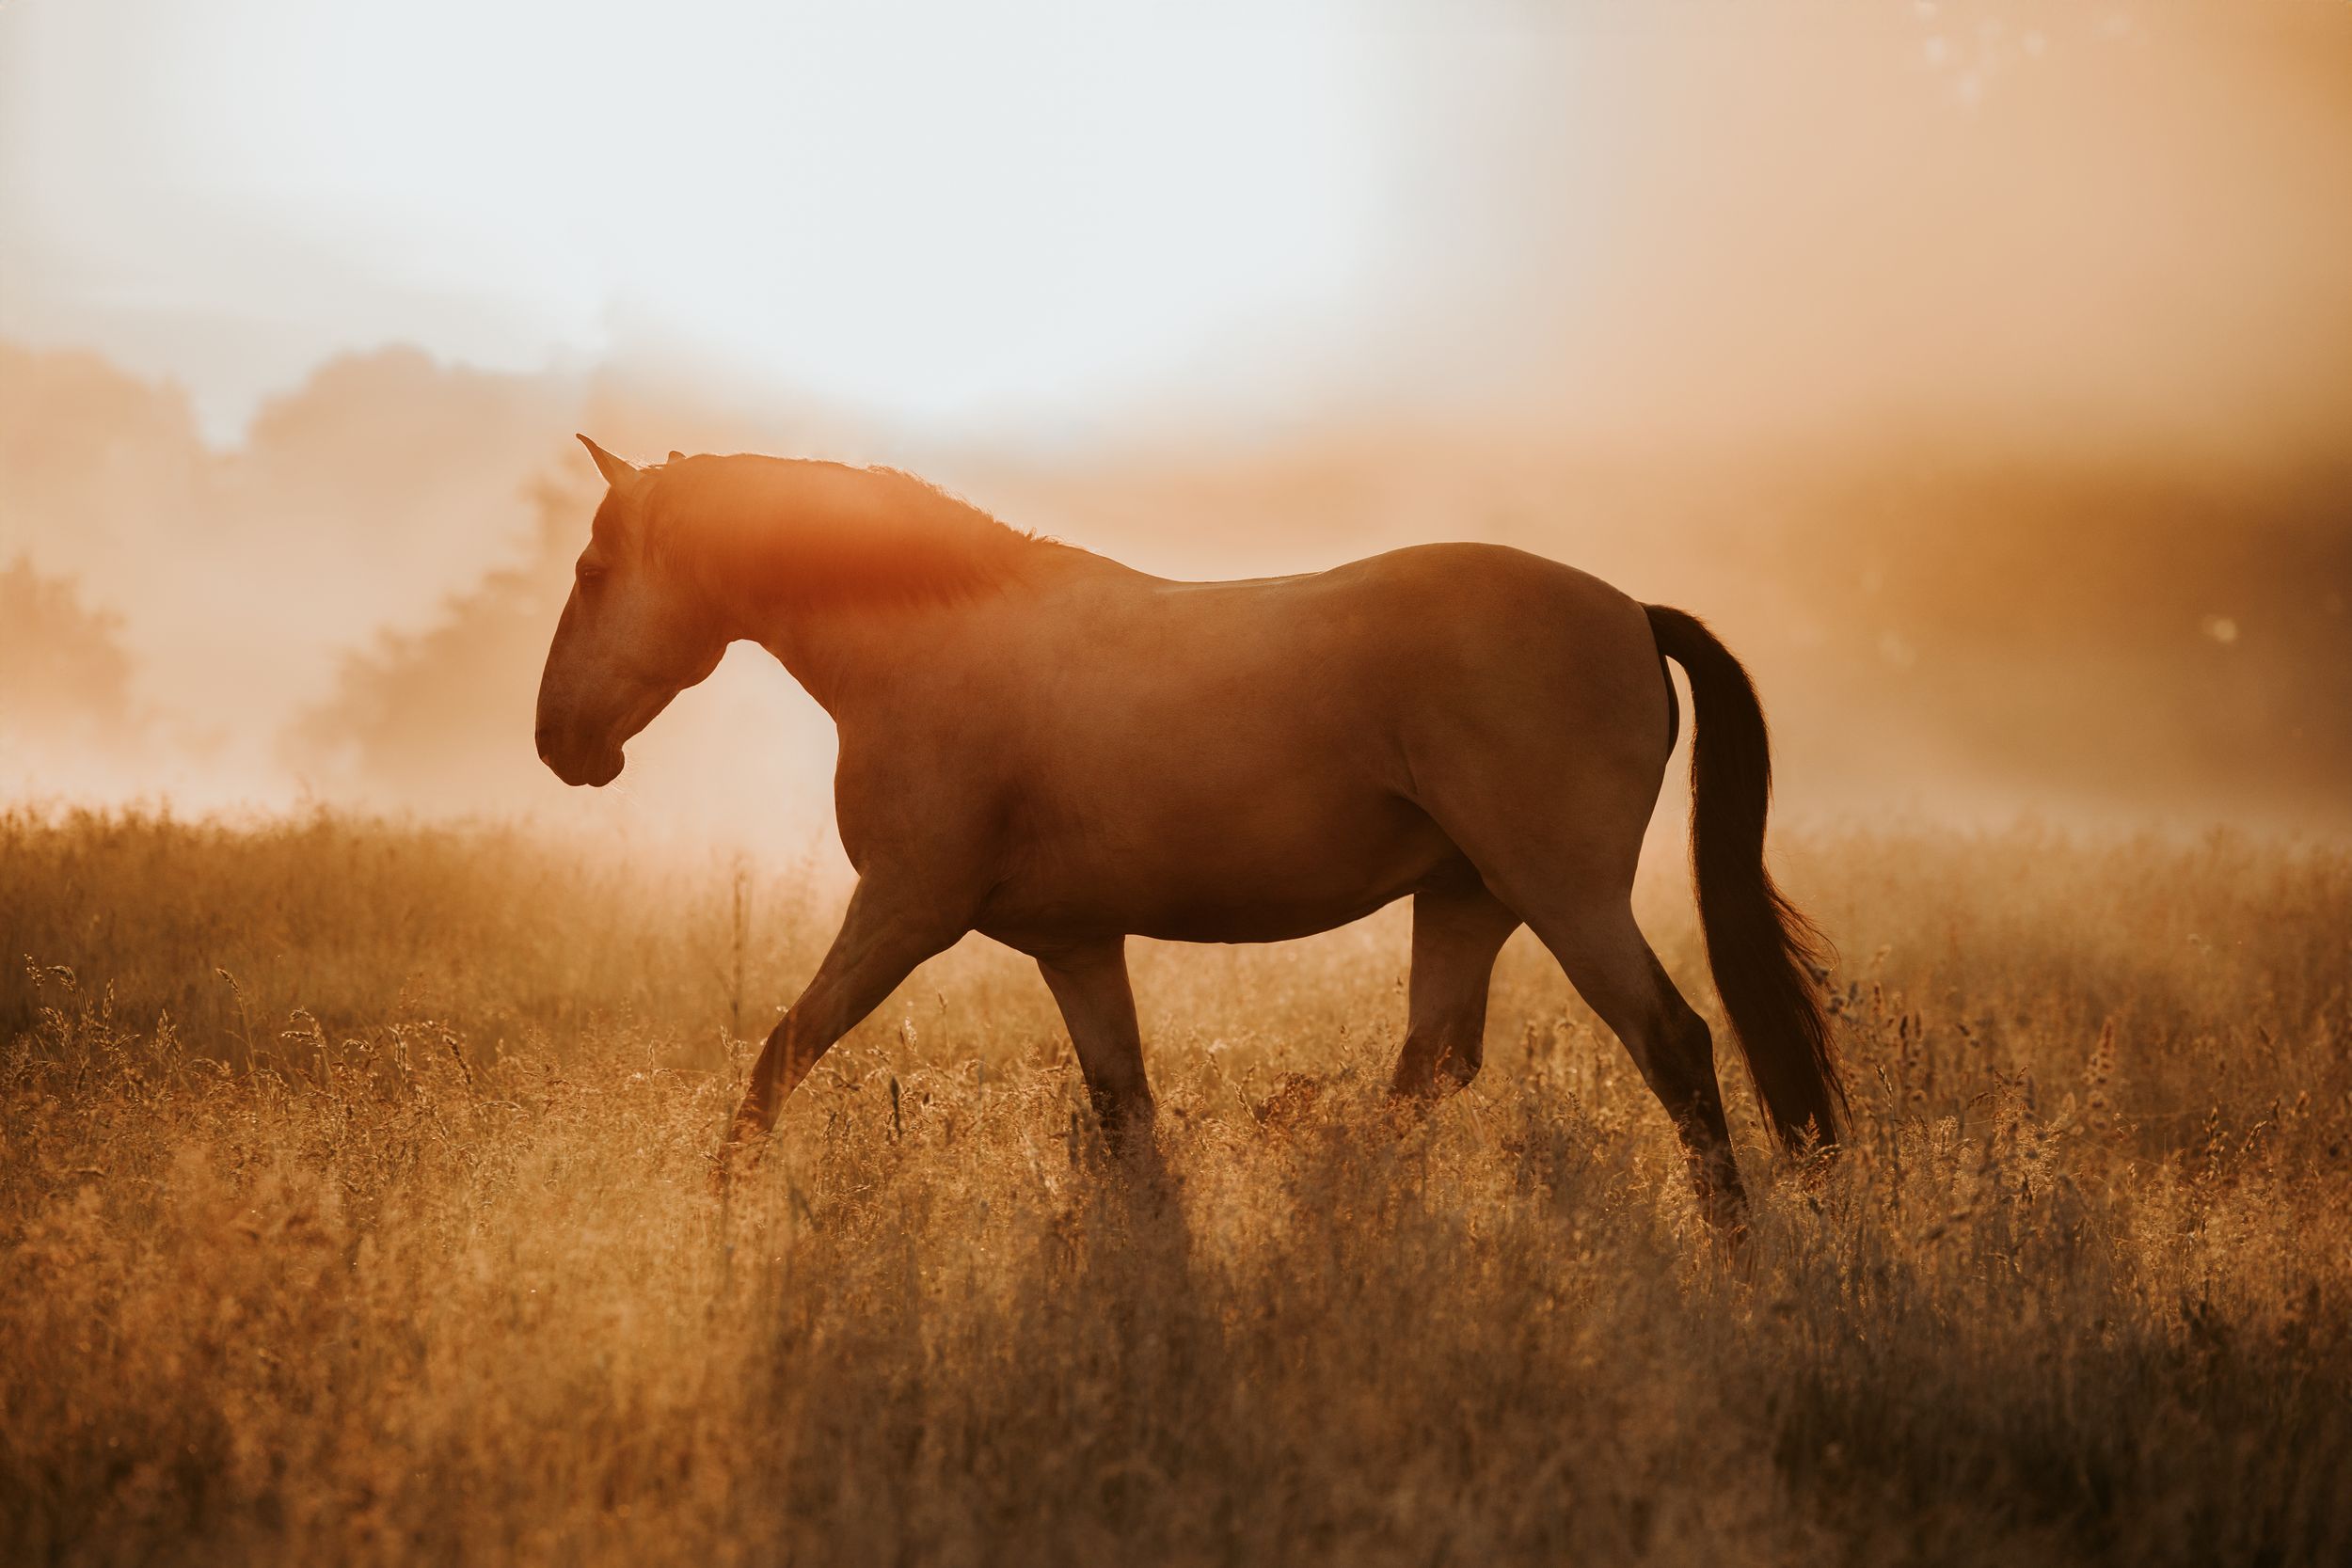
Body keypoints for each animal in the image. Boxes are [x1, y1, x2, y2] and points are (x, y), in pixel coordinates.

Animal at [535, 437, 1843, 1228]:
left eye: (595, 570)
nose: (559, 741)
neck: (929, 644)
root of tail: (1632, 610)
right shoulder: (1074, 945)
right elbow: (1128, 1116)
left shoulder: (904, 910)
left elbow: (779, 1054)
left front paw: (715, 1212)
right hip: (1467, 899)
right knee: (1430, 1069)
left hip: (1566, 897)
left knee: (1673, 1043)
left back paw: (1733, 1260)